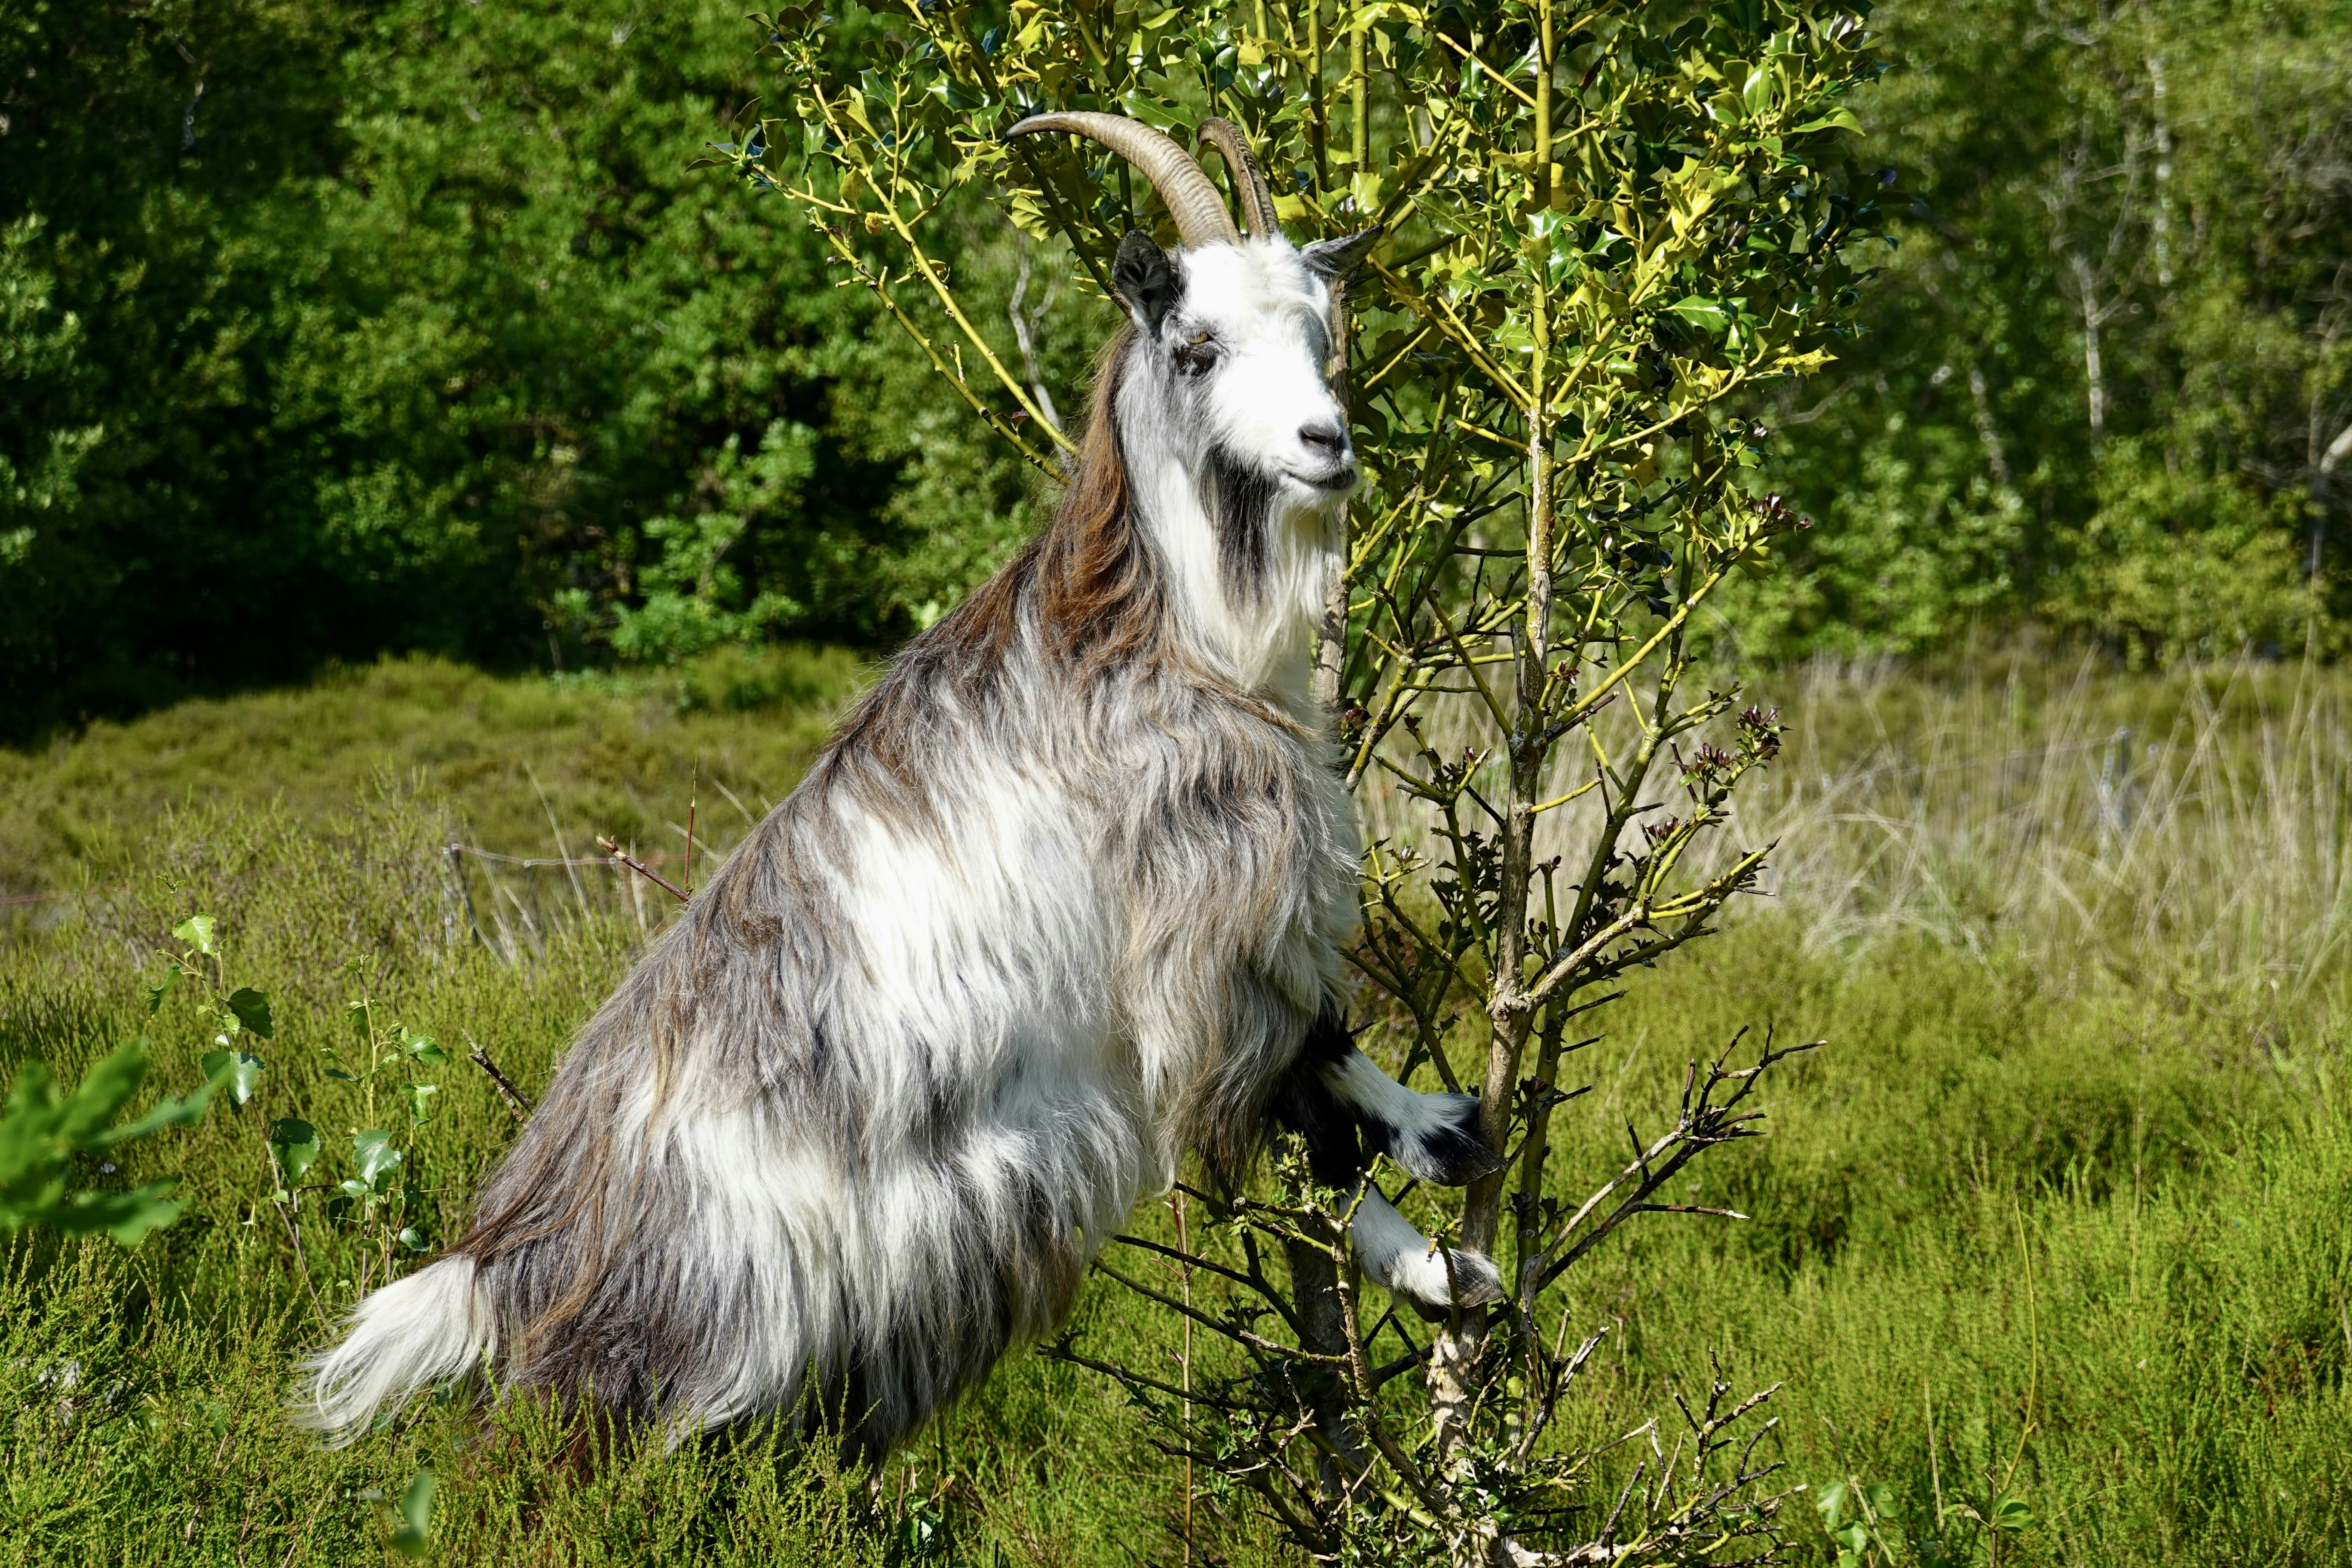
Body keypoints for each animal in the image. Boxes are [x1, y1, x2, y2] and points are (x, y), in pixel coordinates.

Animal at [299, 113, 1501, 1459]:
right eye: (1195, 345)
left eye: (1318, 332)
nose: (1325, 446)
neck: (1156, 635)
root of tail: (505, 1261)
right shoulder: (1197, 919)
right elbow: (1285, 1106)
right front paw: (1437, 1259)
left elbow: (1326, 1043)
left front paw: (1445, 1133)